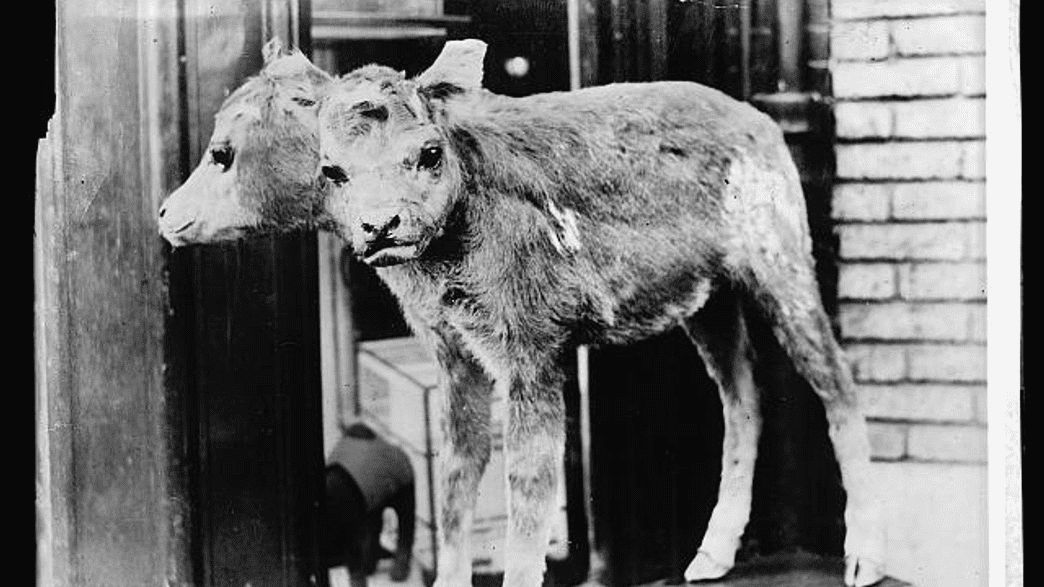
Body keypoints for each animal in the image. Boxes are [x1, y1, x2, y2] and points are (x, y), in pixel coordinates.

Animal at [159, 39, 885, 587]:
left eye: (223, 152)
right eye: (331, 169)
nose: (381, 225)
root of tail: (762, 121)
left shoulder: (534, 350)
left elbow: (529, 498)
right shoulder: (455, 355)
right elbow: (456, 483)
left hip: (781, 263)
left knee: (838, 385)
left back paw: (863, 561)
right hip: (708, 300)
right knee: (744, 397)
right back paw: (709, 556)